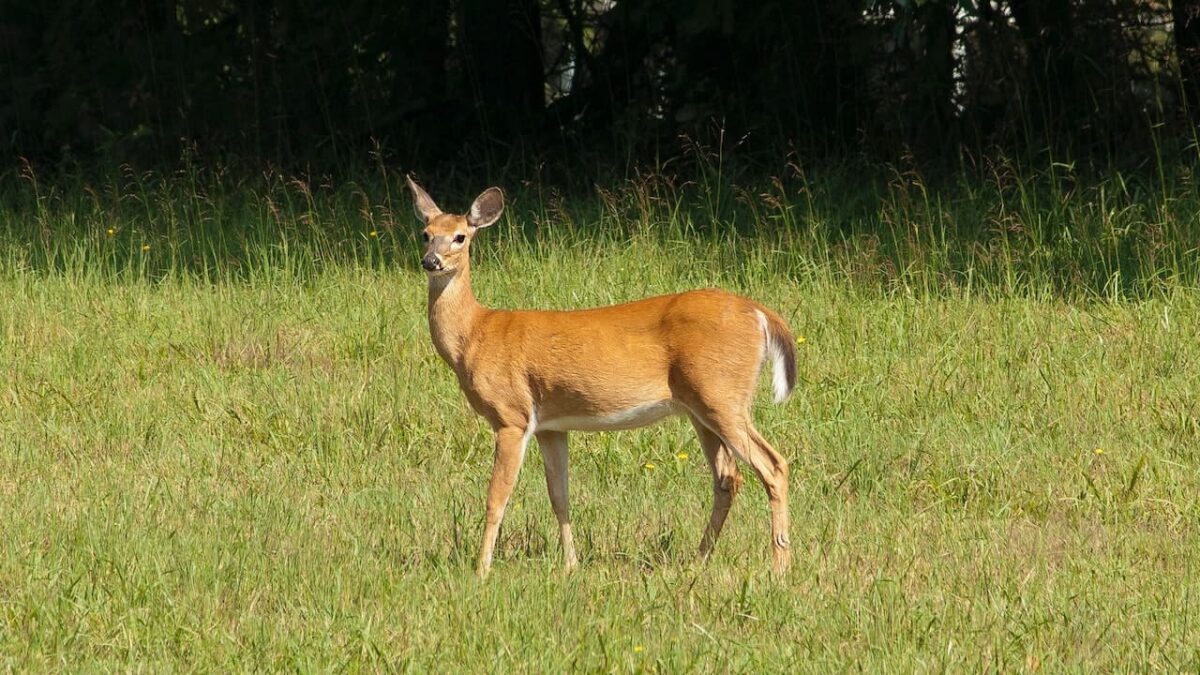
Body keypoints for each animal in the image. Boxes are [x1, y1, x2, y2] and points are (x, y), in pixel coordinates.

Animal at [407, 177, 798, 577]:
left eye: (460, 237)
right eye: (425, 233)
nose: (431, 261)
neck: (475, 334)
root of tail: (760, 313)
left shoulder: (511, 415)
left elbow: (496, 497)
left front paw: (481, 570)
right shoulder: (550, 425)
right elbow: (559, 497)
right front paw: (571, 565)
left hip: (722, 394)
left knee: (773, 465)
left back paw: (780, 565)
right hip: (700, 407)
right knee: (727, 477)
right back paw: (699, 558)